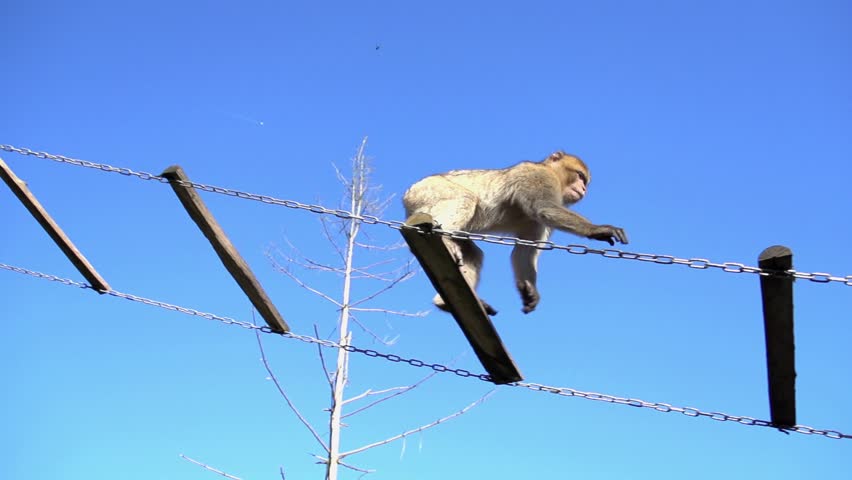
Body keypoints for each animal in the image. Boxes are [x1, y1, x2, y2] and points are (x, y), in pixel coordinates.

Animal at [402, 151, 628, 315]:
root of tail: (408, 196)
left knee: (473, 254)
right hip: (428, 190)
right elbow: (545, 208)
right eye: (579, 176)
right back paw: (443, 238)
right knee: (464, 198)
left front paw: (530, 291)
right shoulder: (538, 178)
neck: (552, 173)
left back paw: (444, 302)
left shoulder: (538, 223)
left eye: (584, 181)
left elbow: (524, 251)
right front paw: (598, 229)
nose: (583, 189)